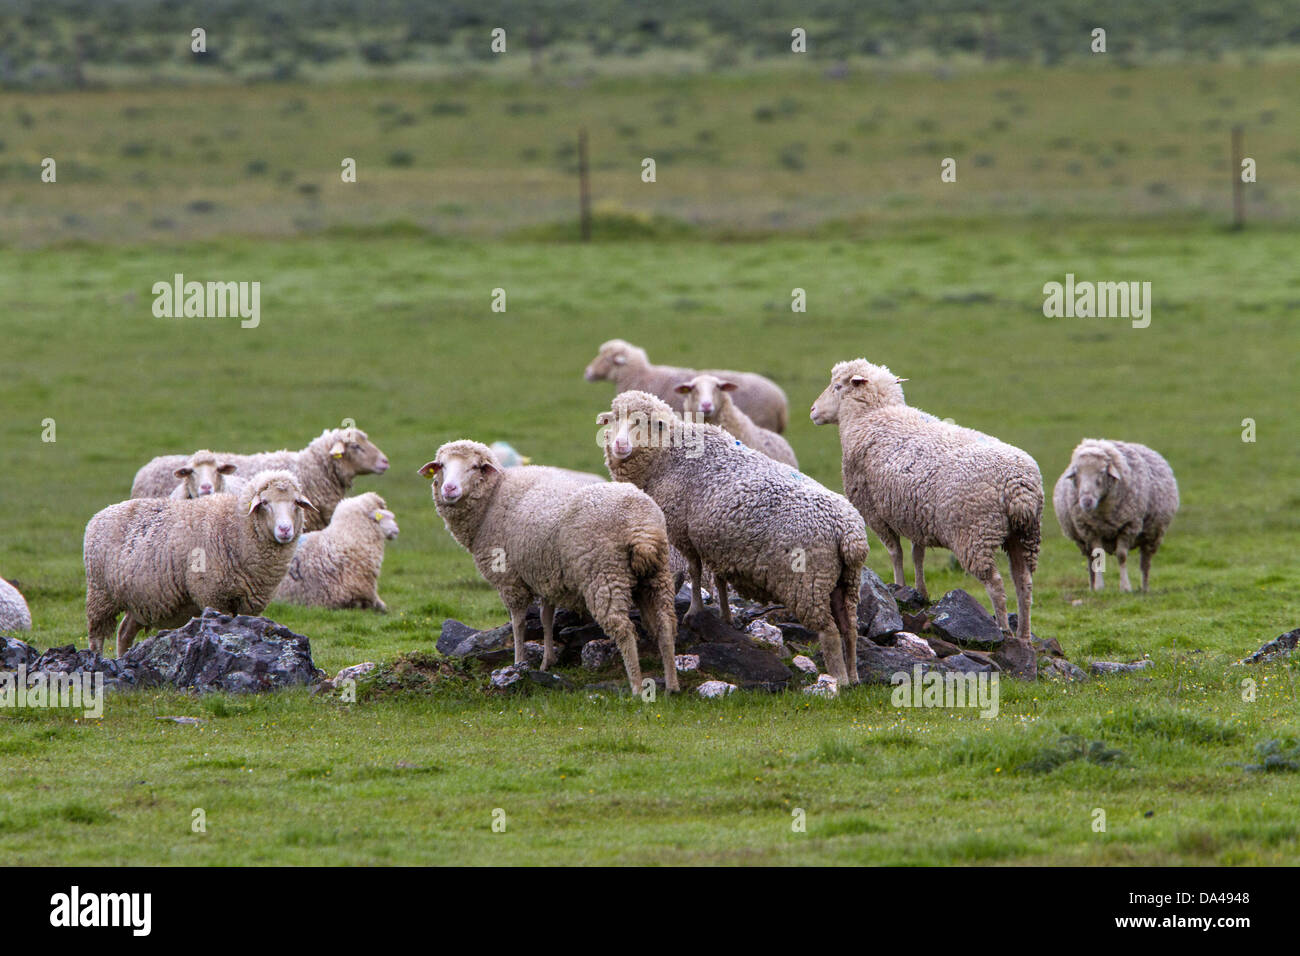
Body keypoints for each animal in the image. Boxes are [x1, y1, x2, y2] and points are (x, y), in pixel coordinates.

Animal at [83, 470, 317, 657]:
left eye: (296, 503)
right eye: (265, 503)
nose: (285, 530)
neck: (237, 529)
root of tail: (102, 513)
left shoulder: (247, 606)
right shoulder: (214, 596)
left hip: (141, 598)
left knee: (124, 632)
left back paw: (123, 659)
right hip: (101, 593)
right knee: (96, 636)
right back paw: (98, 661)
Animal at [419, 440, 679, 694]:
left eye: (474, 466)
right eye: (441, 465)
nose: (449, 489)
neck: (493, 498)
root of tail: (641, 526)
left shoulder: (510, 579)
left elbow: (518, 623)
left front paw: (518, 663)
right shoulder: (546, 575)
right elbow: (546, 618)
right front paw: (547, 662)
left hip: (604, 574)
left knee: (624, 629)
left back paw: (636, 686)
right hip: (656, 573)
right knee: (665, 624)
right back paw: (671, 685)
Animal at [600, 390, 869, 687]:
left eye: (646, 423)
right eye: (615, 419)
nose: (620, 445)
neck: (668, 456)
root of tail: (849, 533)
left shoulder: (683, 533)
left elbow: (695, 573)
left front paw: (694, 611)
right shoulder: (715, 543)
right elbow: (718, 578)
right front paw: (726, 617)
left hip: (808, 583)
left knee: (830, 632)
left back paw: (839, 681)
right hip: (844, 581)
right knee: (850, 628)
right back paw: (854, 676)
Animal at [811, 359, 1044, 661]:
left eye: (837, 386)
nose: (812, 410)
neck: (873, 415)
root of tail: (1019, 486)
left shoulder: (874, 512)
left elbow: (895, 553)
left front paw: (898, 586)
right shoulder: (915, 516)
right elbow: (917, 554)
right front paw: (919, 592)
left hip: (975, 533)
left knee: (995, 583)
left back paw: (1003, 629)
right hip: (1024, 534)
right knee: (1024, 582)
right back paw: (1024, 635)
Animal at [1053, 439, 1179, 592]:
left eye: (1102, 471)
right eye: (1076, 472)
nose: (1086, 502)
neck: (1102, 511)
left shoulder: (1128, 526)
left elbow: (1122, 556)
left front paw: (1125, 587)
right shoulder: (1090, 530)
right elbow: (1097, 557)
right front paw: (1099, 587)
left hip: (1152, 535)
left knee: (1145, 562)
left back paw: (1144, 588)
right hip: (1082, 540)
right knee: (1090, 560)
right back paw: (1092, 587)